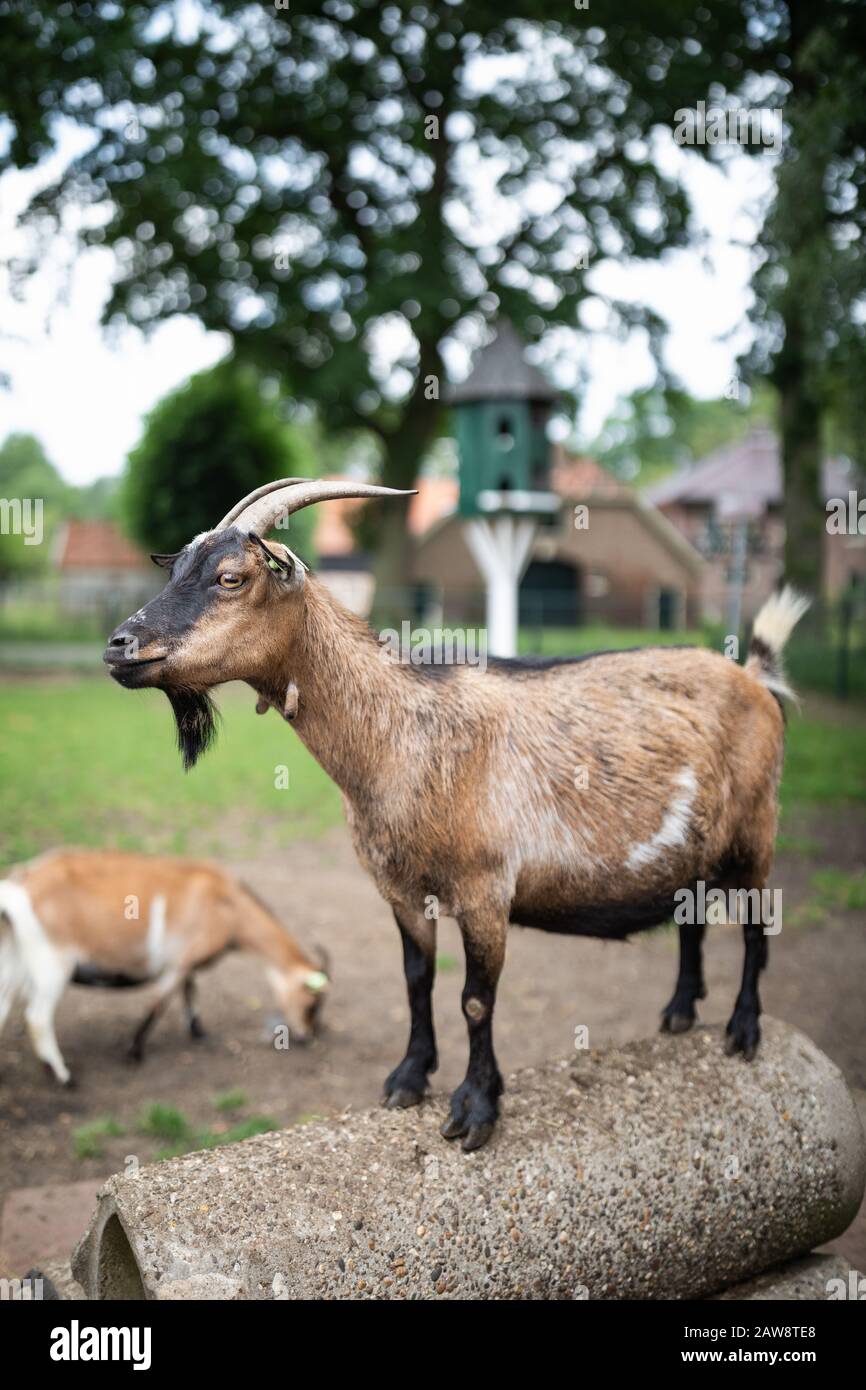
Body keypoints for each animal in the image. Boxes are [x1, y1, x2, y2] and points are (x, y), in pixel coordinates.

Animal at [0, 848, 328, 1084]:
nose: (309, 1035)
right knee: (38, 1017)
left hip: (13, 957)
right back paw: (63, 1076)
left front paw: (198, 1032)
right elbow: (159, 1004)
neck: (228, 904)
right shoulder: (177, 964)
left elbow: (190, 991)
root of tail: (20, 883)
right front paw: (133, 1053)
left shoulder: (187, 962)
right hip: (52, 962)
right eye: (312, 1002)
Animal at [103, 477, 808, 1149]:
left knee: (754, 926)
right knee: (691, 915)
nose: (119, 645)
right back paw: (679, 1014)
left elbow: (475, 999)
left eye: (231, 577)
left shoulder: (485, 890)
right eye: (175, 568)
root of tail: (754, 677)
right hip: (696, 848)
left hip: (757, 830)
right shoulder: (400, 890)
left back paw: (742, 1030)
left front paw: (475, 1110)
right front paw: (409, 1079)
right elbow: (417, 980)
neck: (402, 738)